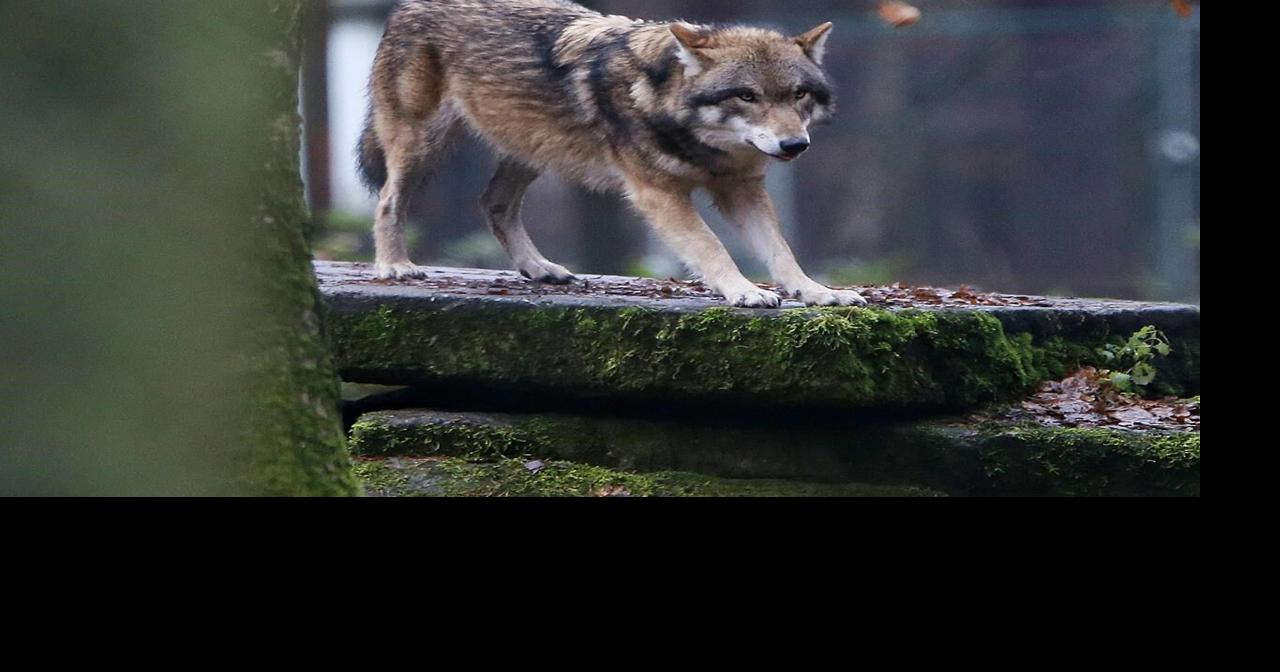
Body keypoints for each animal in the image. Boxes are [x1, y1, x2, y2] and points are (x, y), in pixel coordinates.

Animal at [358, 0, 866, 307]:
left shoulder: (742, 190)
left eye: (798, 95)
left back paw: (540, 269)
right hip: (422, 143)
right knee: (388, 201)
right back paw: (394, 266)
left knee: (493, 204)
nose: (795, 145)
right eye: (747, 96)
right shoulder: (658, 194)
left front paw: (817, 292)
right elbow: (712, 246)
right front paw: (743, 291)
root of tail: (407, 6)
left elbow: (782, 252)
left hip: (533, 149)